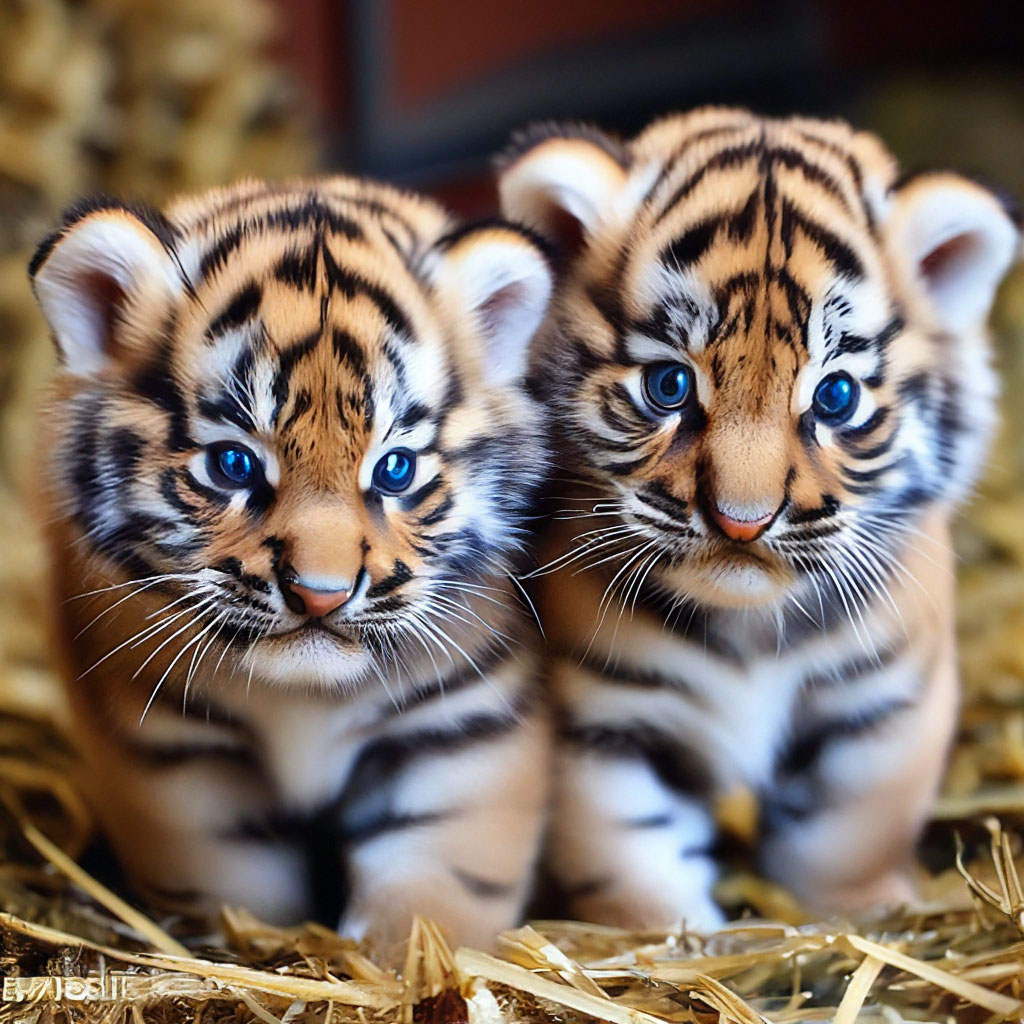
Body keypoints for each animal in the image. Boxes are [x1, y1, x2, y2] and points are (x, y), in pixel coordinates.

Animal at [29, 176, 554, 959]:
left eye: (395, 469)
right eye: (233, 464)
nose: (321, 596)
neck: (307, 698)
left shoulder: (466, 727)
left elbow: (433, 898)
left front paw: (411, 962)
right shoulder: (170, 750)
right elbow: (230, 887)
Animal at [498, 107, 1020, 930]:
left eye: (836, 397)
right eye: (669, 385)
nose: (741, 522)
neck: (747, 631)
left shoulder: (885, 704)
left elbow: (851, 834)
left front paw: (861, 912)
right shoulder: (603, 717)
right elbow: (628, 855)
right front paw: (669, 936)